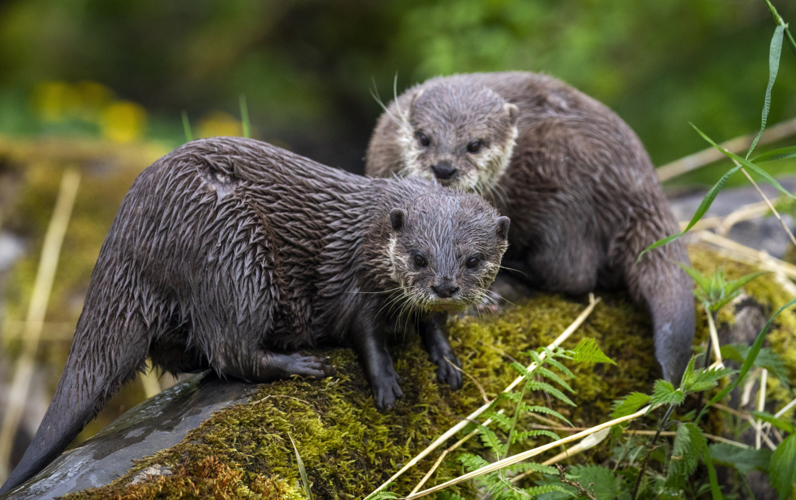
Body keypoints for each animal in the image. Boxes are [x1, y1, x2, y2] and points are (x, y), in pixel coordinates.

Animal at [1, 137, 509, 495]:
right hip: (234, 252)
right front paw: (385, 384)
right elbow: (365, 335)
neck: (372, 229)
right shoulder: (355, 282)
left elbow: (433, 323)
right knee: (231, 352)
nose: (444, 285)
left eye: (473, 260)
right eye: (419, 258)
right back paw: (300, 363)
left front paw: (447, 361)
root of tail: (128, 235)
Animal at [366, 71, 695, 384]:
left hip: (564, 184)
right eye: (424, 138)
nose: (444, 168)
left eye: (475, 145)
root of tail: (642, 190)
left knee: (574, 274)